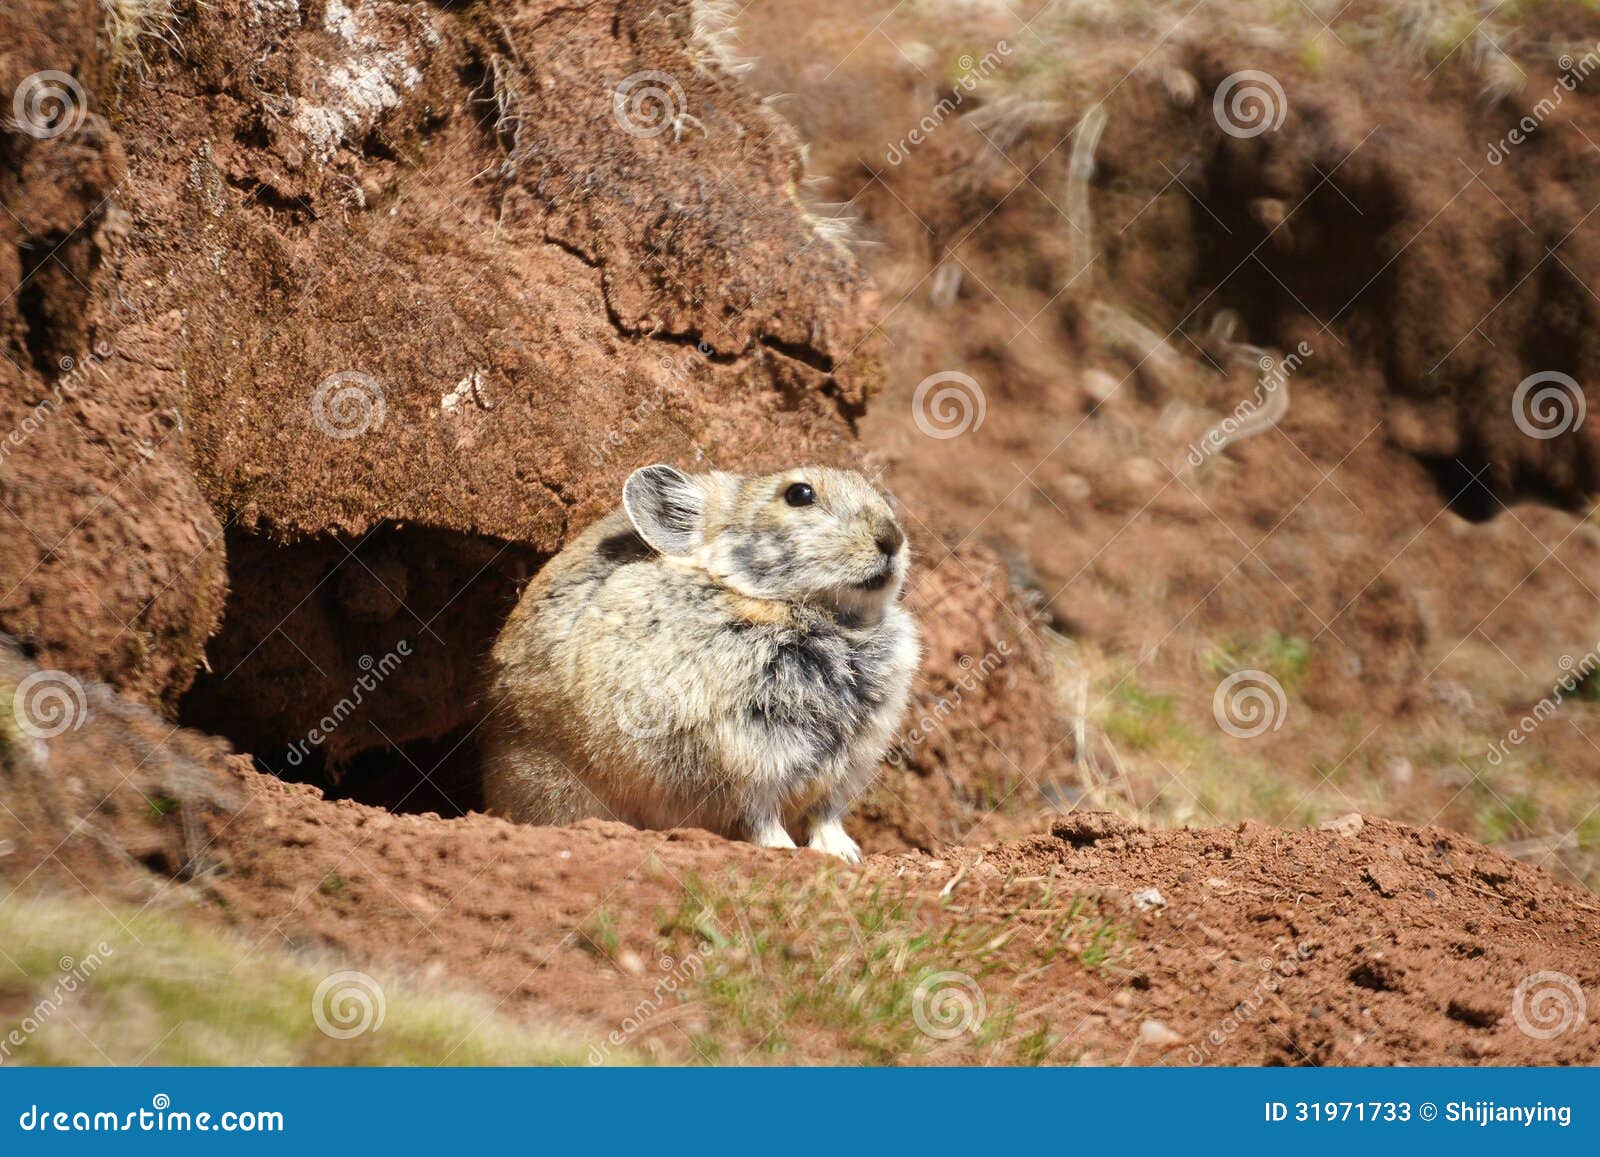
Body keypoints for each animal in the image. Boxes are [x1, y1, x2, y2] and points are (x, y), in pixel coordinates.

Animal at [482, 464, 920, 862]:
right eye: (799, 494)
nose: (891, 538)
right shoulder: (742, 760)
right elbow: (759, 816)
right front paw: (783, 850)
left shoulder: (847, 764)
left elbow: (825, 815)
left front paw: (845, 854)